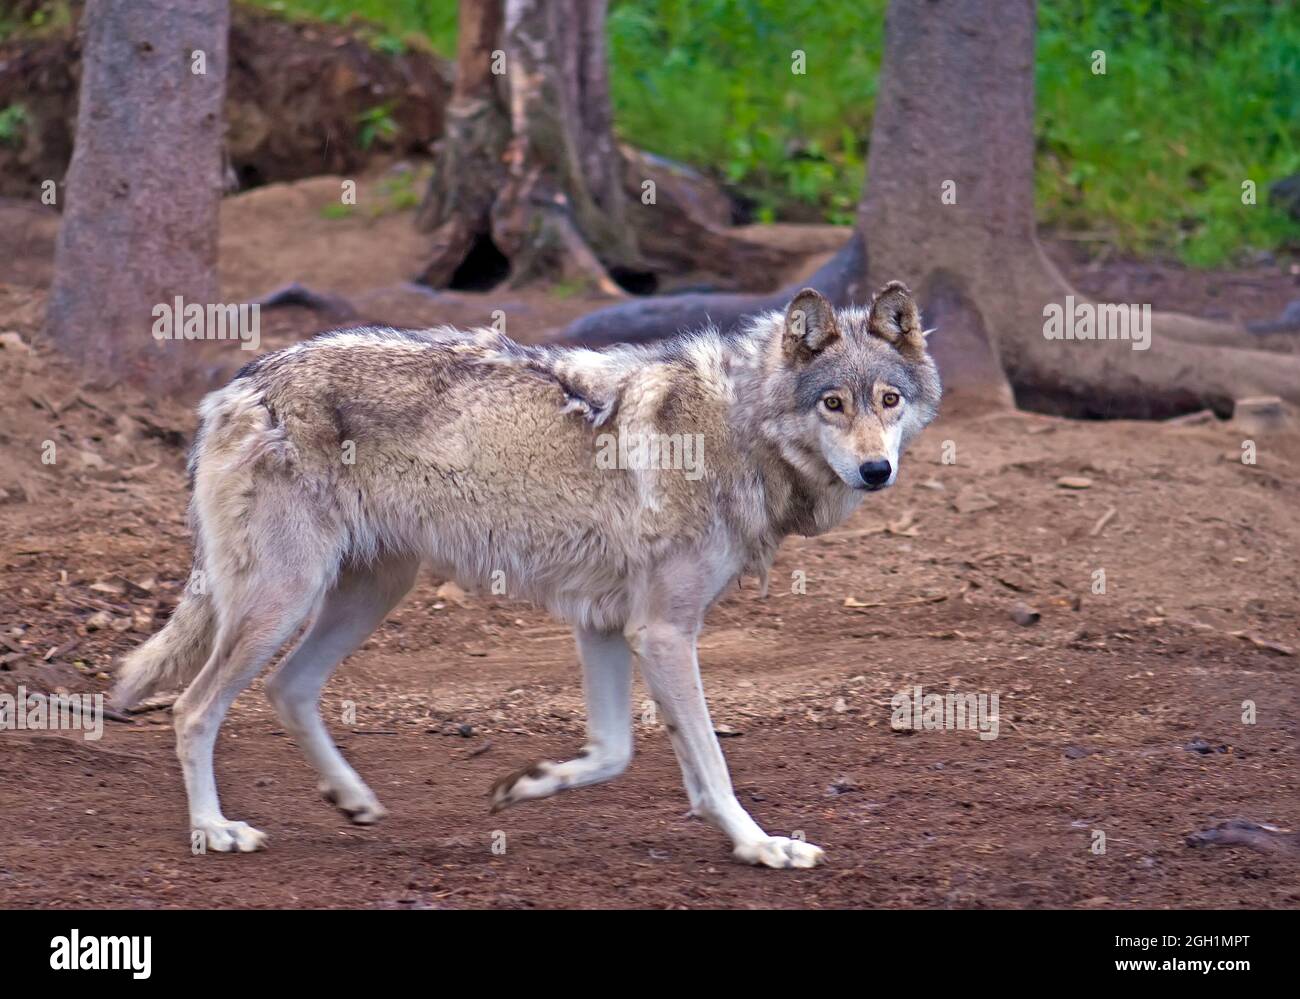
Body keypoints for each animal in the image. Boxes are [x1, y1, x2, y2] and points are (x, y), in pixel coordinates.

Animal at [113, 283, 940, 868]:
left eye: (888, 400)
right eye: (832, 403)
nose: (876, 469)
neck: (736, 425)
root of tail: (240, 382)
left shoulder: (606, 624)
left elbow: (614, 752)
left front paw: (526, 785)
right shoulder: (662, 631)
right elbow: (712, 764)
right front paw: (760, 843)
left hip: (367, 593)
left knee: (288, 688)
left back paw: (352, 799)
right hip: (284, 601)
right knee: (192, 707)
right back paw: (214, 829)